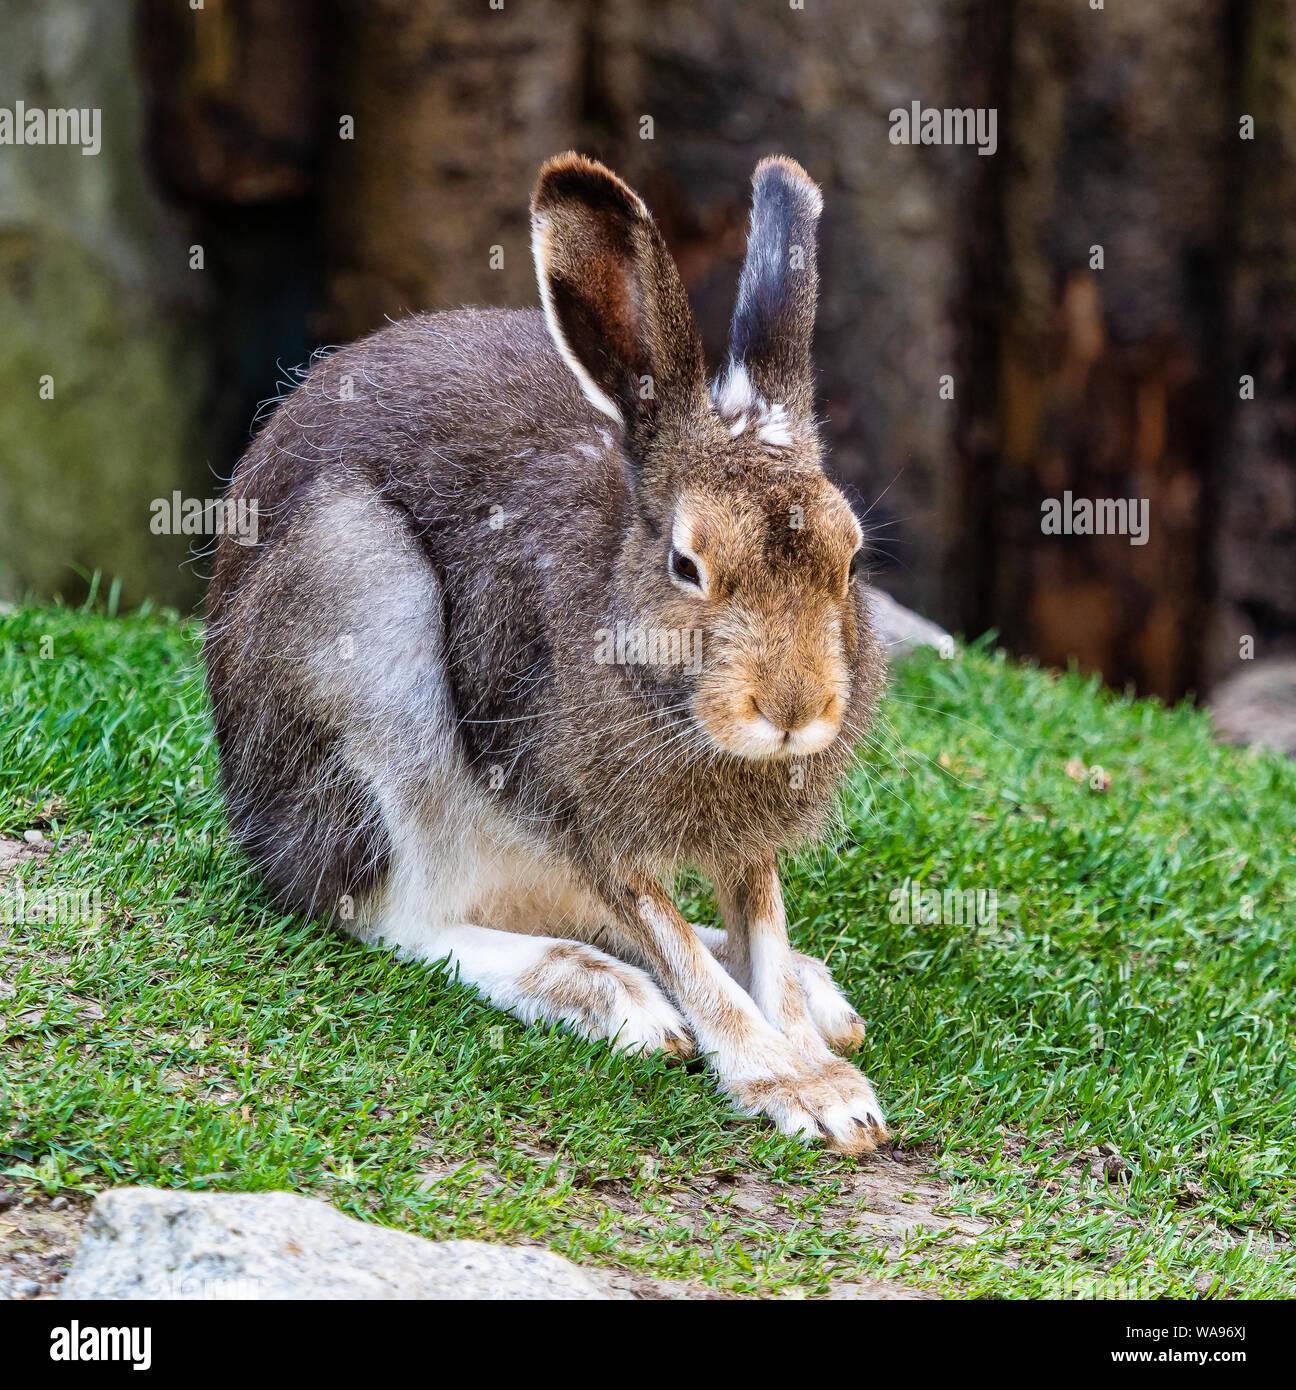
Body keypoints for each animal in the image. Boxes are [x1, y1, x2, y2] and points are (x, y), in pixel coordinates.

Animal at [205, 152, 890, 1154]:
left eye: (849, 559)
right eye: (687, 564)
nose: (794, 710)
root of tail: (257, 822)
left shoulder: (743, 842)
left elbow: (755, 924)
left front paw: (819, 1064)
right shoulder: (569, 805)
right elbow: (669, 939)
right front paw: (794, 1087)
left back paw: (818, 992)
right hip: (365, 608)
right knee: (392, 910)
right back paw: (609, 997)